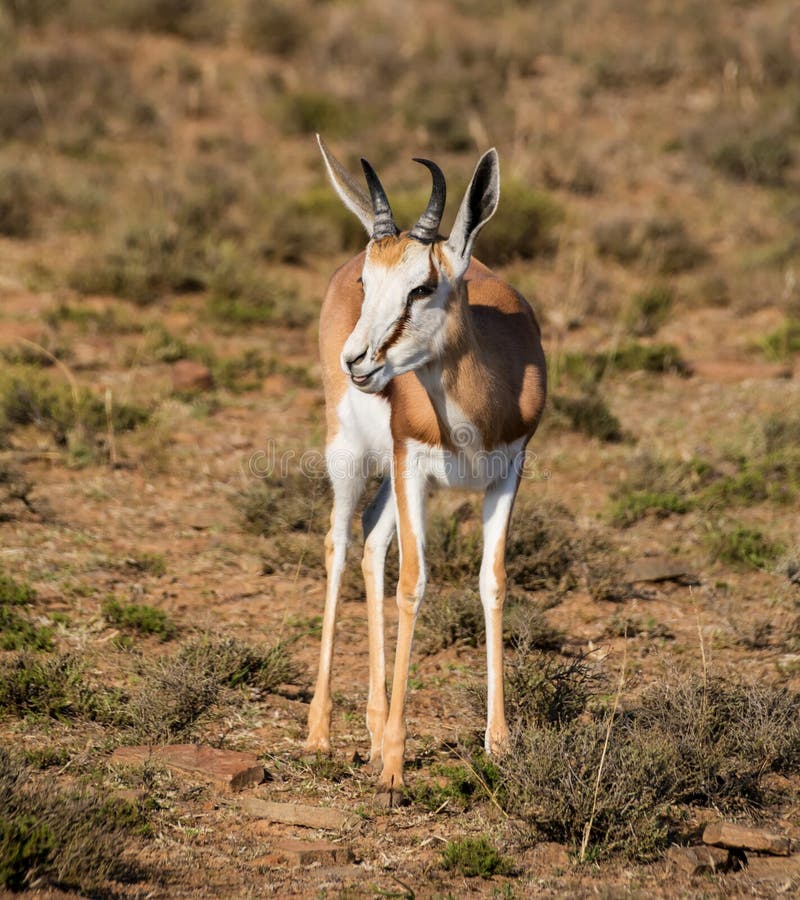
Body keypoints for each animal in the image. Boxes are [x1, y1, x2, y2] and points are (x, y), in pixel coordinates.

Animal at [305, 136, 547, 802]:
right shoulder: (412, 465)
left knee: (370, 542)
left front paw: (500, 746)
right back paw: (321, 734)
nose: (357, 361)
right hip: (351, 456)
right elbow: (413, 583)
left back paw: (369, 727)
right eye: (368, 282)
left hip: (391, 478)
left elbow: (493, 582)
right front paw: (394, 767)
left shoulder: (507, 474)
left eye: (421, 287)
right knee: (339, 544)